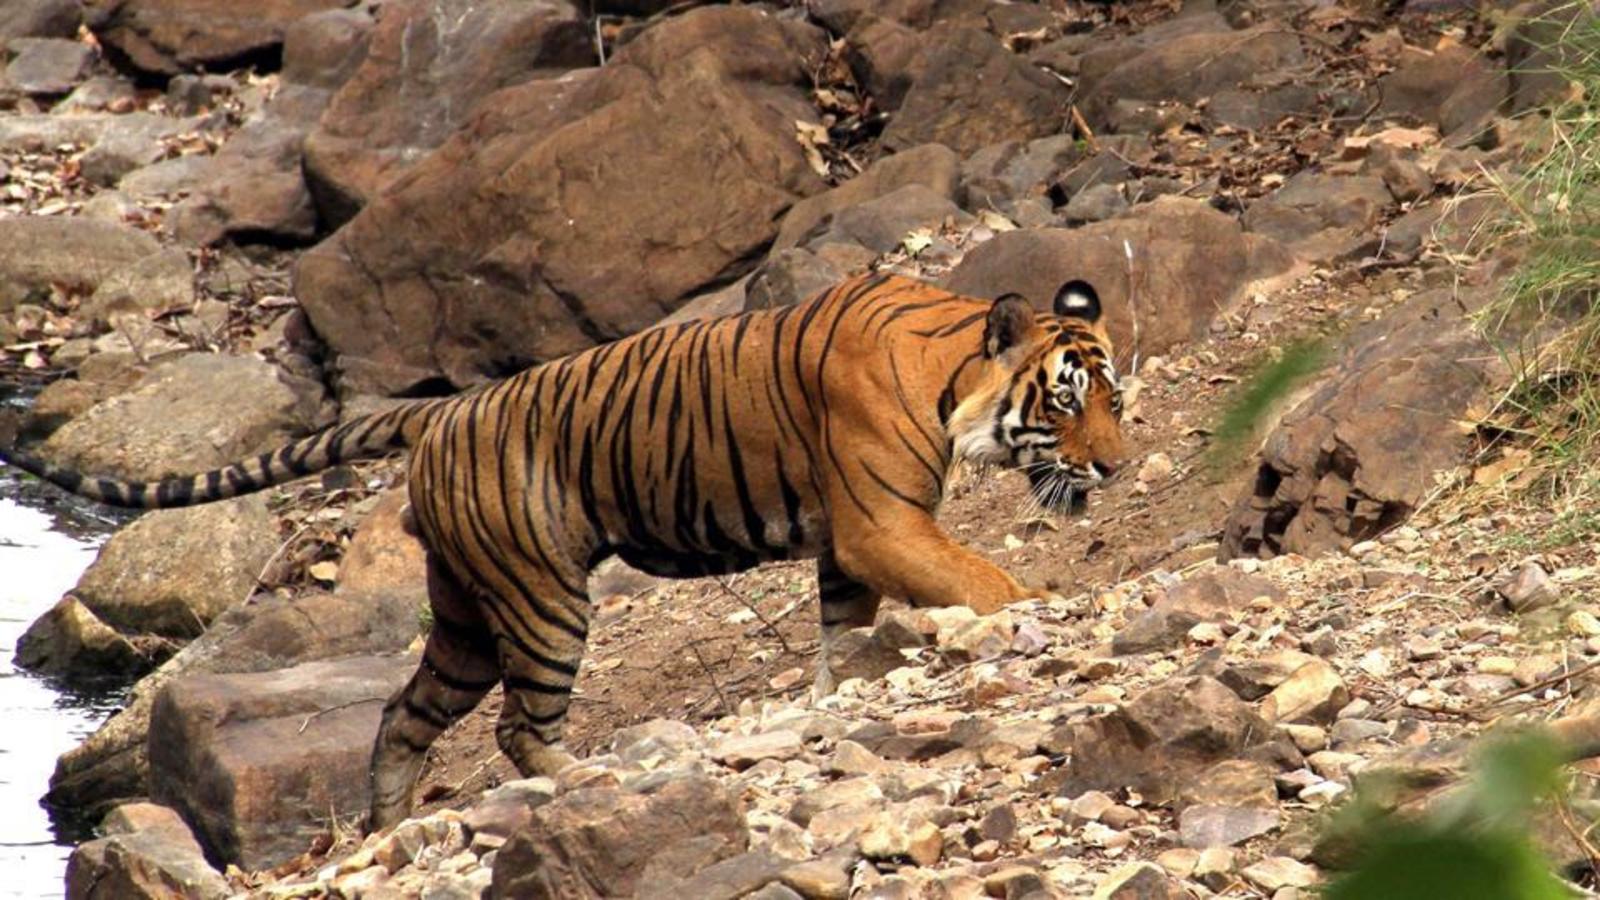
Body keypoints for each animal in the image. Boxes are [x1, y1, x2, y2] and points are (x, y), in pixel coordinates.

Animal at [0, 272, 1125, 829]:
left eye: (1115, 394)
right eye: (1067, 401)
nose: (1117, 465)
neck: (953, 376)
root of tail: (439, 413)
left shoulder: (850, 550)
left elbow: (841, 642)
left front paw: (838, 694)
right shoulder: (877, 524)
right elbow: (982, 579)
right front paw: (1030, 611)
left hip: (462, 618)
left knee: (404, 718)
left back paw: (385, 827)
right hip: (543, 601)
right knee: (516, 729)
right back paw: (589, 773)